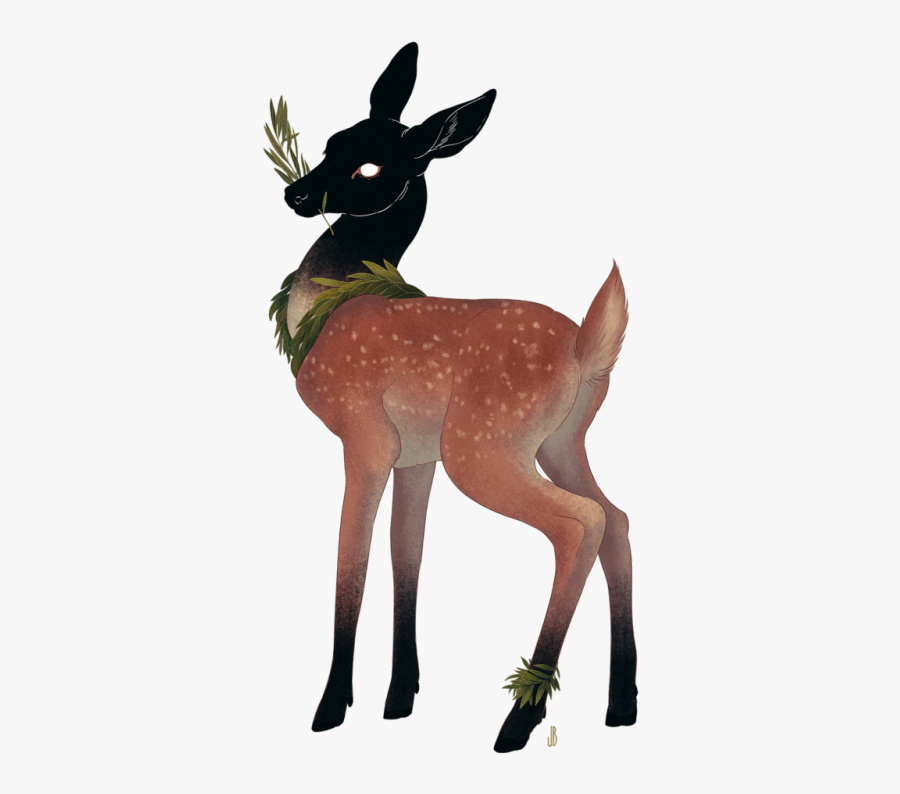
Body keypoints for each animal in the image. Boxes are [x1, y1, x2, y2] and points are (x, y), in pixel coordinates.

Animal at [275, 42, 637, 753]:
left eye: (368, 164)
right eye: (331, 140)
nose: (295, 192)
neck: (331, 309)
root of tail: (587, 350)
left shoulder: (366, 438)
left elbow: (352, 563)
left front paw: (331, 708)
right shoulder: (418, 457)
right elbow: (406, 555)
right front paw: (399, 699)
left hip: (485, 448)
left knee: (580, 522)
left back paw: (520, 717)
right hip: (558, 442)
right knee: (618, 517)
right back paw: (620, 705)